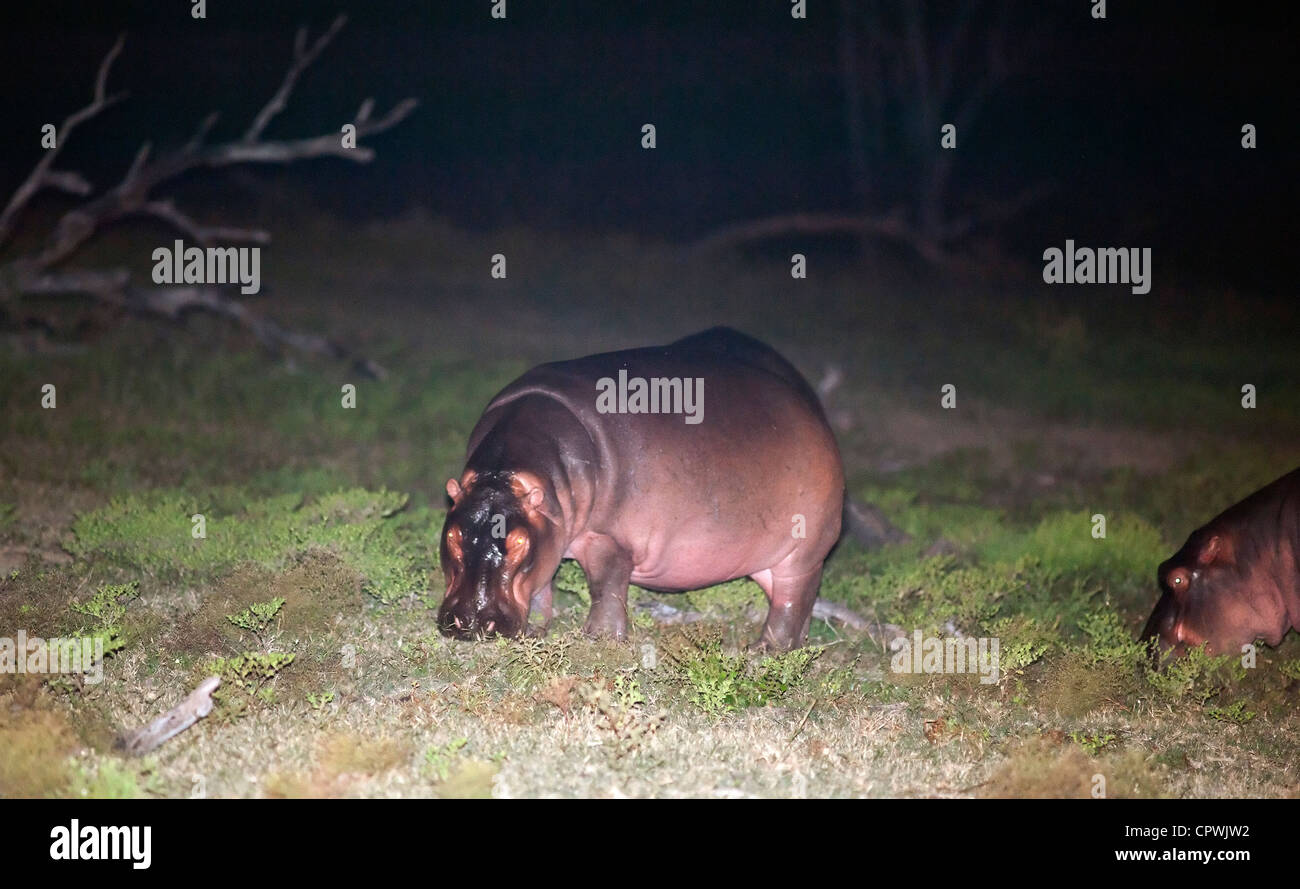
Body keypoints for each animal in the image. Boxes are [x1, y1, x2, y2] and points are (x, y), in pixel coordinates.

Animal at [436, 327, 845, 651]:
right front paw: (537, 631)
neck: (506, 475)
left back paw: (765, 652)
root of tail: (812, 405)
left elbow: (607, 588)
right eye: (453, 536)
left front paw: (599, 640)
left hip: (803, 552)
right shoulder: (549, 532)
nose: (471, 621)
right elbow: (540, 588)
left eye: (519, 543)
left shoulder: (608, 537)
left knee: (791, 601)